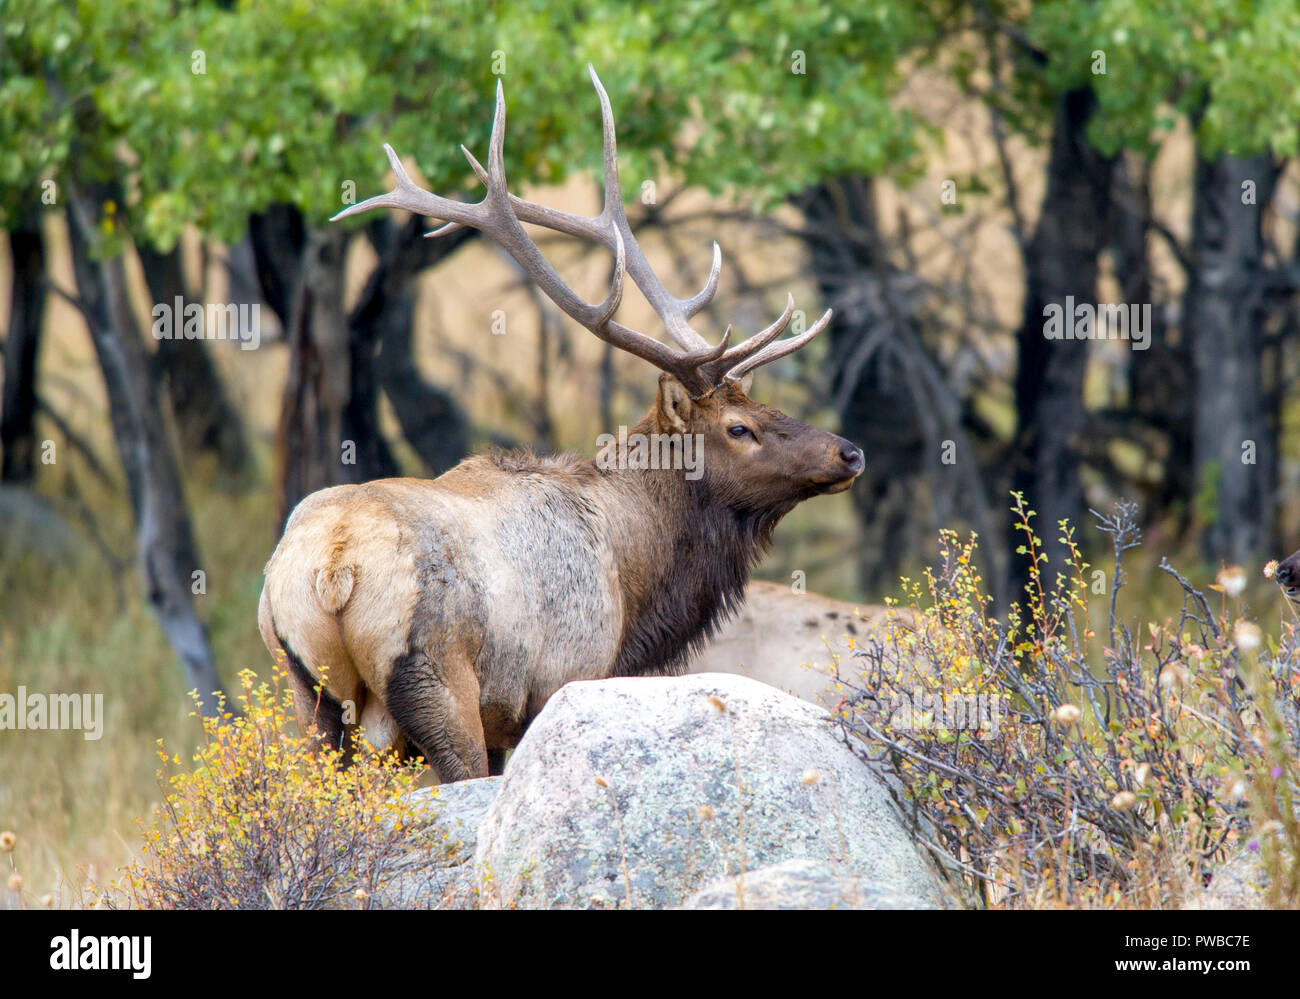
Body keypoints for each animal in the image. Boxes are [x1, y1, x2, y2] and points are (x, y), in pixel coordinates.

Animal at [258, 65, 864, 782]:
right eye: (740, 427)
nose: (849, 452)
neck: (635, 575)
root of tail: (333, 564)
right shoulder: (560, 676)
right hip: (436, 678)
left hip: (308, 695)